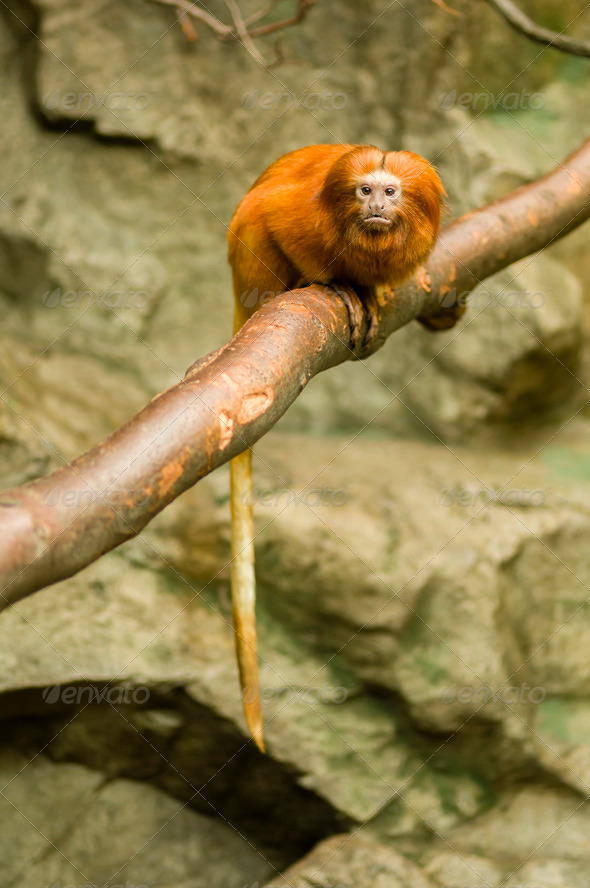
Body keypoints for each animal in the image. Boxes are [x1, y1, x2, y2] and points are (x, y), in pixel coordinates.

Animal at [226, 143, 447, 751]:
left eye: (391, 192)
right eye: (363, 190)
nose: (375, 206)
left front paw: (375, 288)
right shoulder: (304, 219)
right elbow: (277, 219)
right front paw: (342, 287)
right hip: (250, 267)